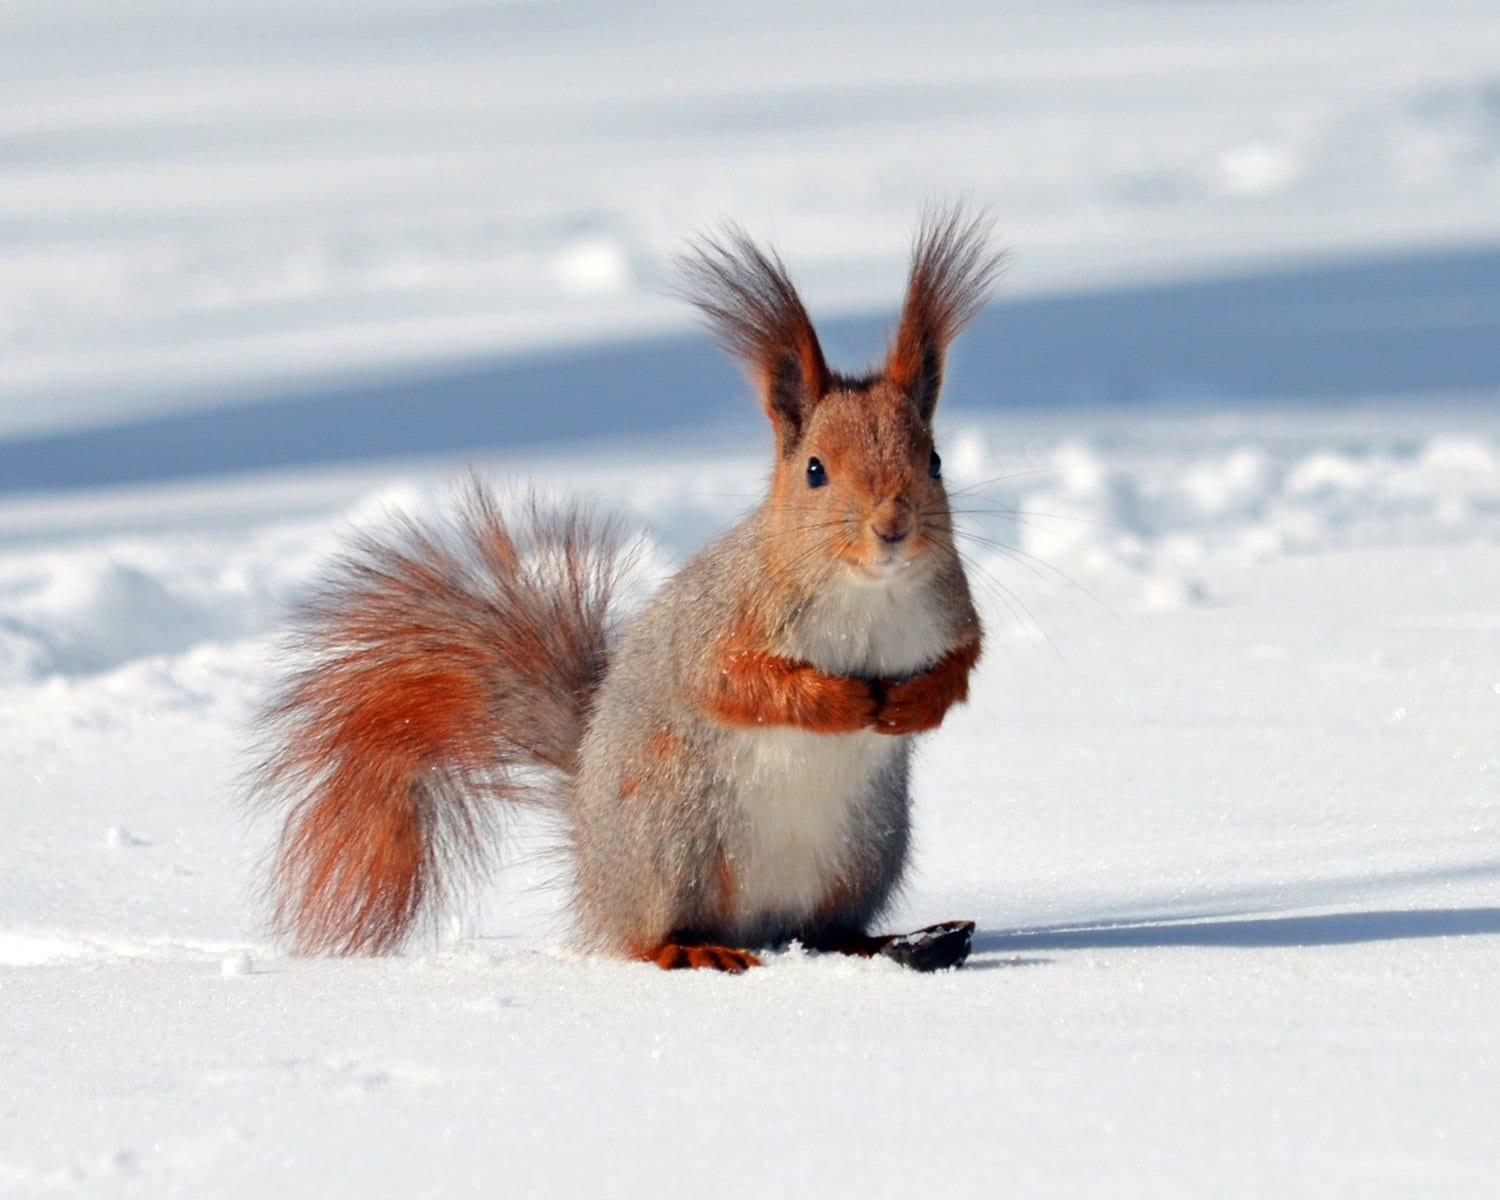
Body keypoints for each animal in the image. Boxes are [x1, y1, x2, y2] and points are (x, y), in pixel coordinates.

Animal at [251, 206, 1004, 973]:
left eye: (935, 461)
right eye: (815, 471)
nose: (892, 527)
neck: (868, 592)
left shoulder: (952, 611)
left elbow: (961, 664)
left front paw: (912, 703)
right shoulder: (724, 622)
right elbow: (731, 683)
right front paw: (843, 700)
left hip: (864, 851)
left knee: (827, 928)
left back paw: (885, 941)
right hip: (675, 839)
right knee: (646, 937)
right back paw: (697, 950)